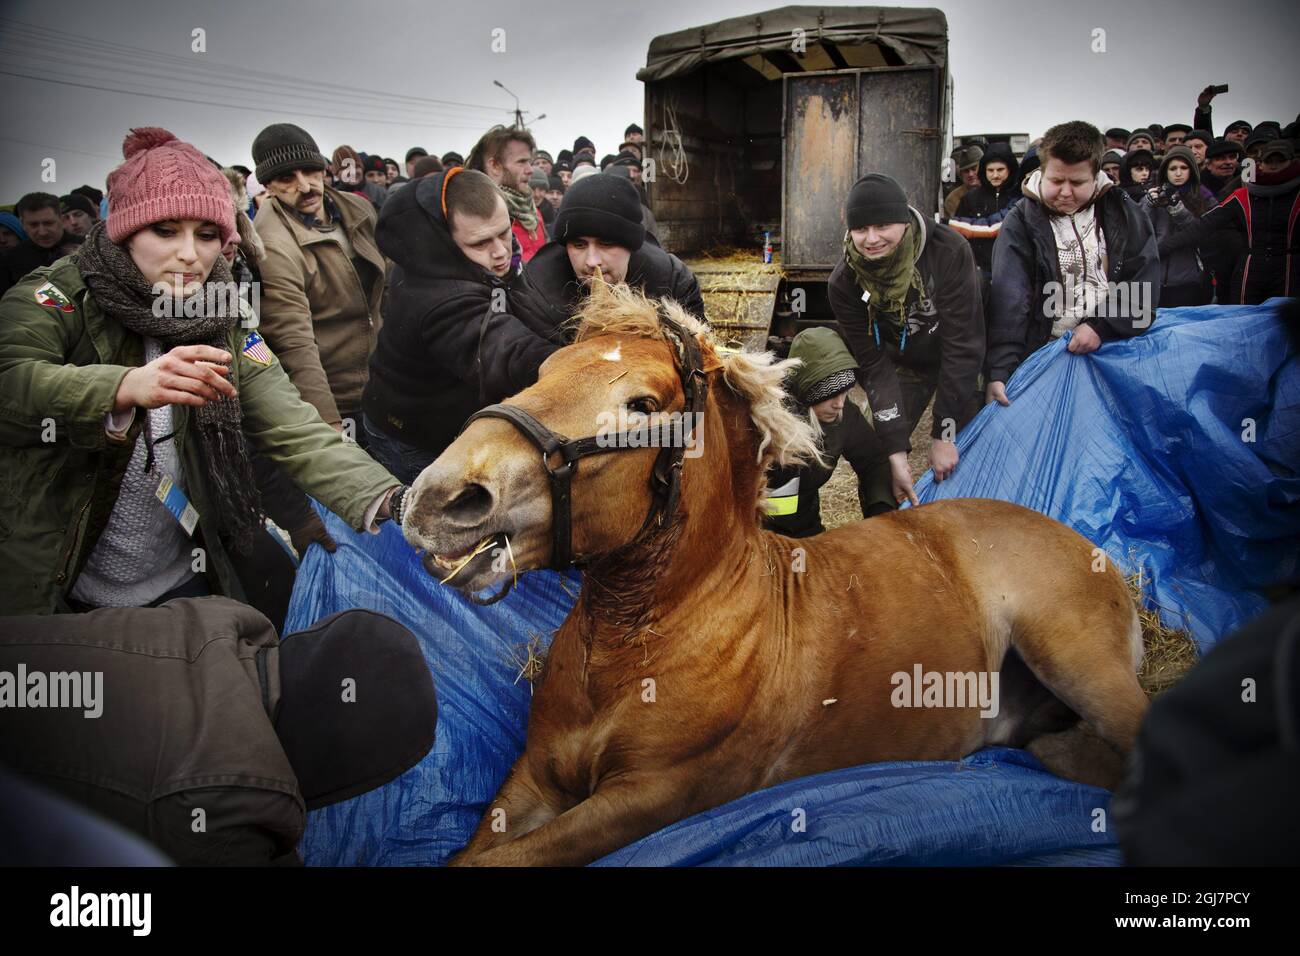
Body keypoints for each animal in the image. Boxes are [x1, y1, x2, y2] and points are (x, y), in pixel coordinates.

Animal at [402, 280, 1149, 866]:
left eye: (642, 406)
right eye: (546, 367)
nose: (437, 498)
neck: (631, 646)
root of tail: (1090, 548)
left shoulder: (647, 800)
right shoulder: (535, 775)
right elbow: (473, 853)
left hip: (1076, 658)